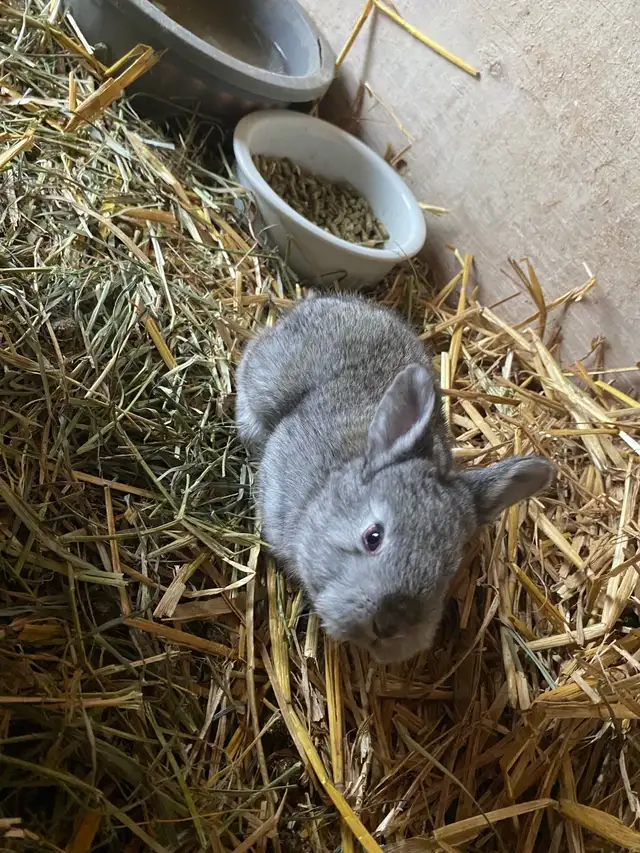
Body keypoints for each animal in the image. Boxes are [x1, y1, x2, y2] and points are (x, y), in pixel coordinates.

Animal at [235, 293, 554, 664]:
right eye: (373, 537)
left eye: (449, 568)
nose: (388, 626)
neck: (324, 492)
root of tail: (328, 302)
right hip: (265, 382)